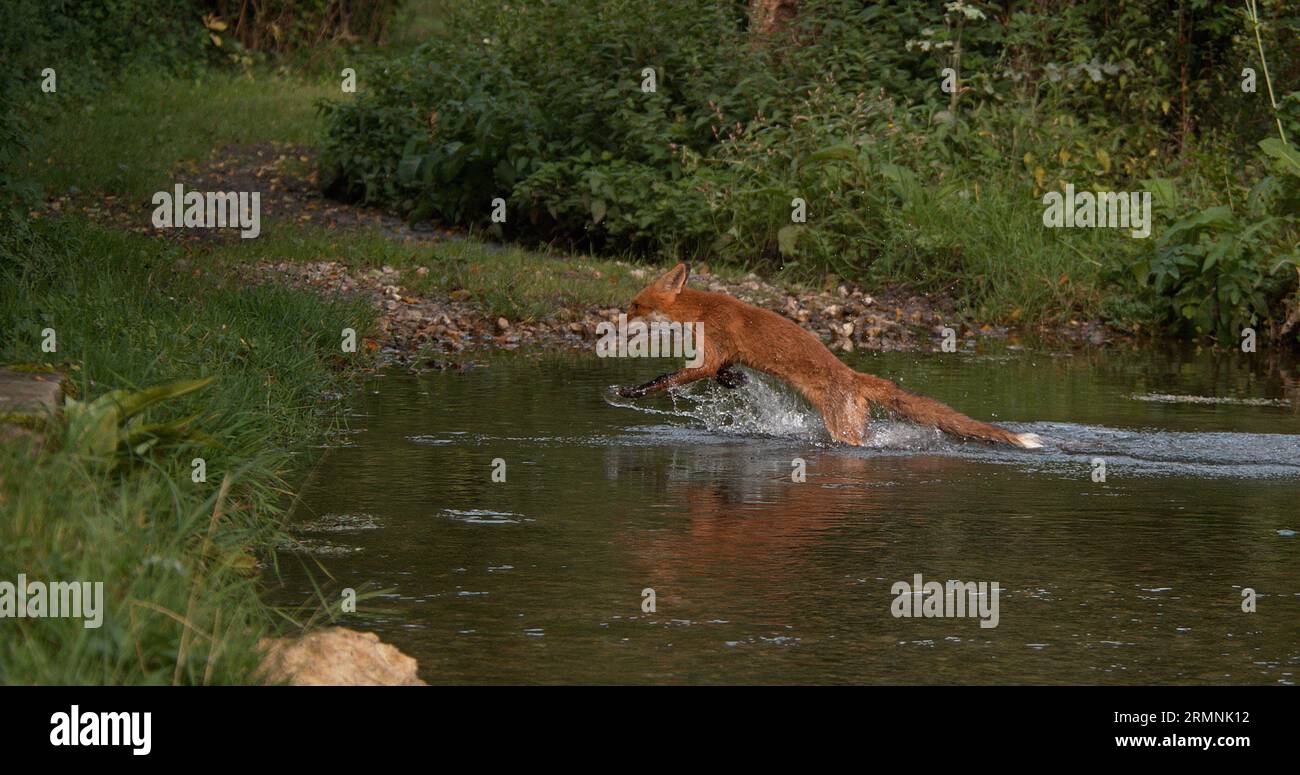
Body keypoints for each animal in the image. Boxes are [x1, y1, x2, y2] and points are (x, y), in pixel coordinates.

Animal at [616, 263, 1043, 449]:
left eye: (636, 305)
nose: (618, 321)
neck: (702, 311)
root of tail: (855, 377)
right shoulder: (721, 357)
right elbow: (722, 373)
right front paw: (734, 380)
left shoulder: (710, 352)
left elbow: (666, 380)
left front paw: (631, 392)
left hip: (843, 429)